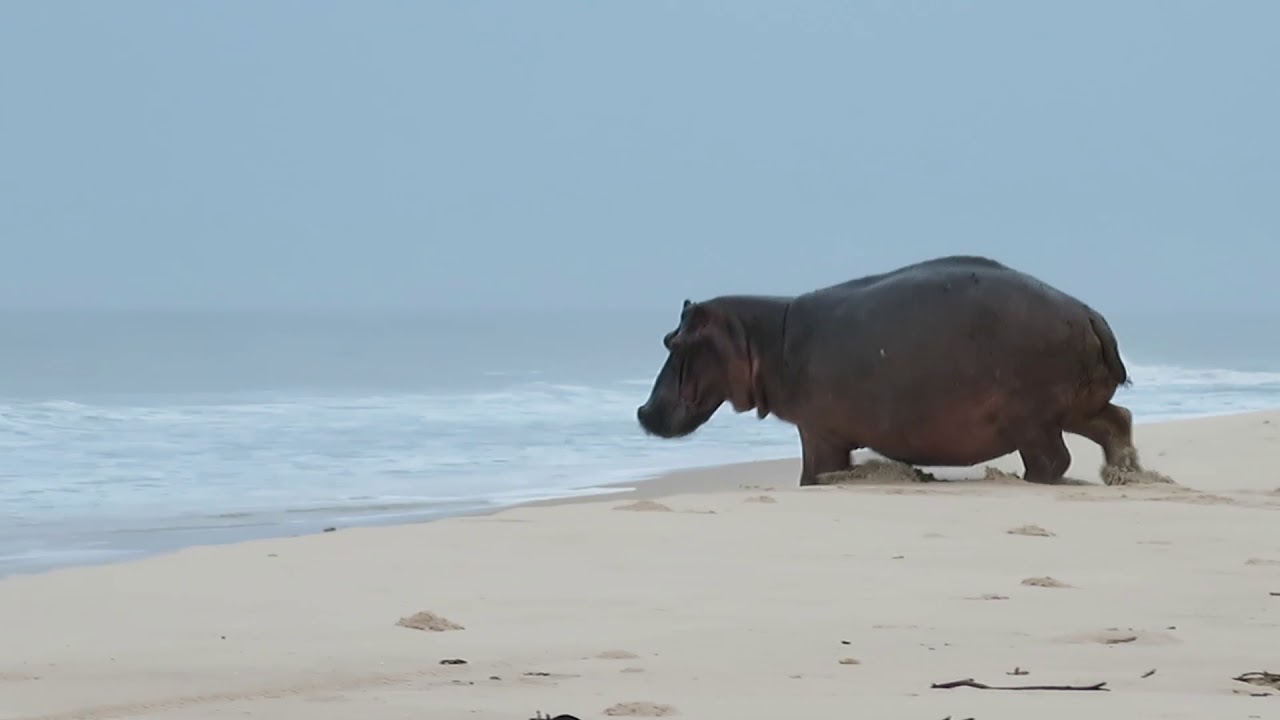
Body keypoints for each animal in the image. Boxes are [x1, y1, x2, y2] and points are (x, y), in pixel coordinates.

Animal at [635, 255, 1147, 486]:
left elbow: (814, 472)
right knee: (1117, 421)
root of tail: (1089, 315)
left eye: (674, 341)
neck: (759, 336)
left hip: (1033, 418)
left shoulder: (818, 430)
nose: (641, 410)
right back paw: (1124, 475)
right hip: (1073, 406)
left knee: (1053, 458)